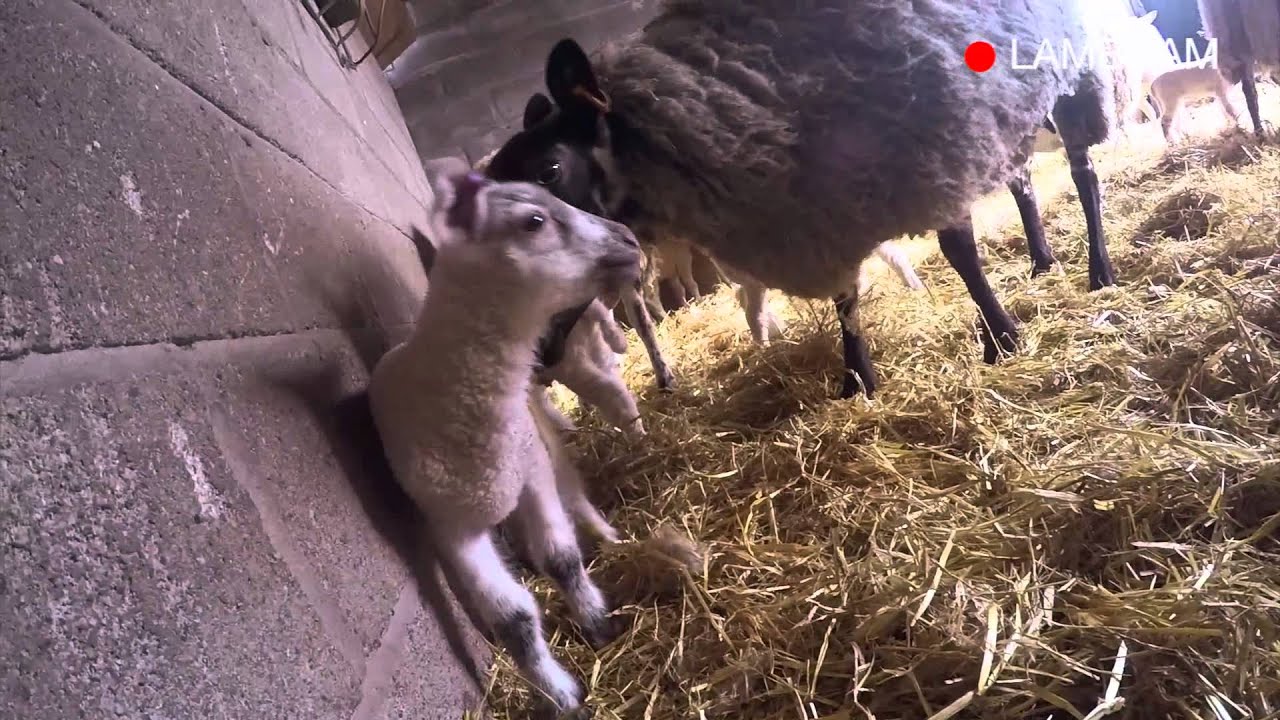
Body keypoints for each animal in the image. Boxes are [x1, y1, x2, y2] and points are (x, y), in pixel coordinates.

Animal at [367, 159, 642, 715]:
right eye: (534, 221)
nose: (628, 238)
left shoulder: (532, 471)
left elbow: (562, 557)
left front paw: (596, 622)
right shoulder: (448, 524)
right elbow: (512, 619)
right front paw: (562, 695)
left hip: (542, 446)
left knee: (575, 495)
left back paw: (610, 537)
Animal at [483, 0, 1124, 399]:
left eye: (550, 169)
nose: (534, 354)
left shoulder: (935, 146)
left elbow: (959, 251)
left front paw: (1001, 339)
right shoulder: (820, 208)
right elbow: (845, 297)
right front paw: (857, 378)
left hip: (1075, 73)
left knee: (1083, 173)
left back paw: (1099, 271)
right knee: (1022, 181)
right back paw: (1041, 260)